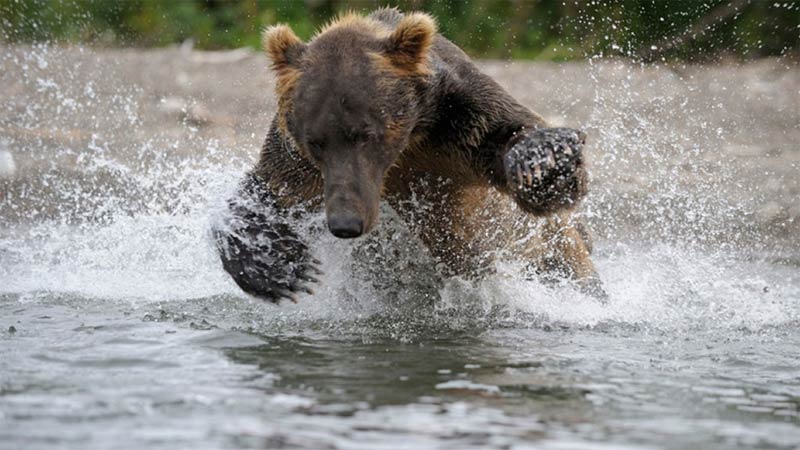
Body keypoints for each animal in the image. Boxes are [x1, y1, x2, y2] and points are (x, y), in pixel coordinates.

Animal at [213, 8, 602, 303]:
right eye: (316, 141)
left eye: (366, 133)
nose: (344, 222)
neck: (408, 144)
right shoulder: (298, 159)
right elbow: (268, 189)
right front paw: (280, 266)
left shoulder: (459, 117)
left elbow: (513, 139)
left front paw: (544, 161)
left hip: (554, 252)